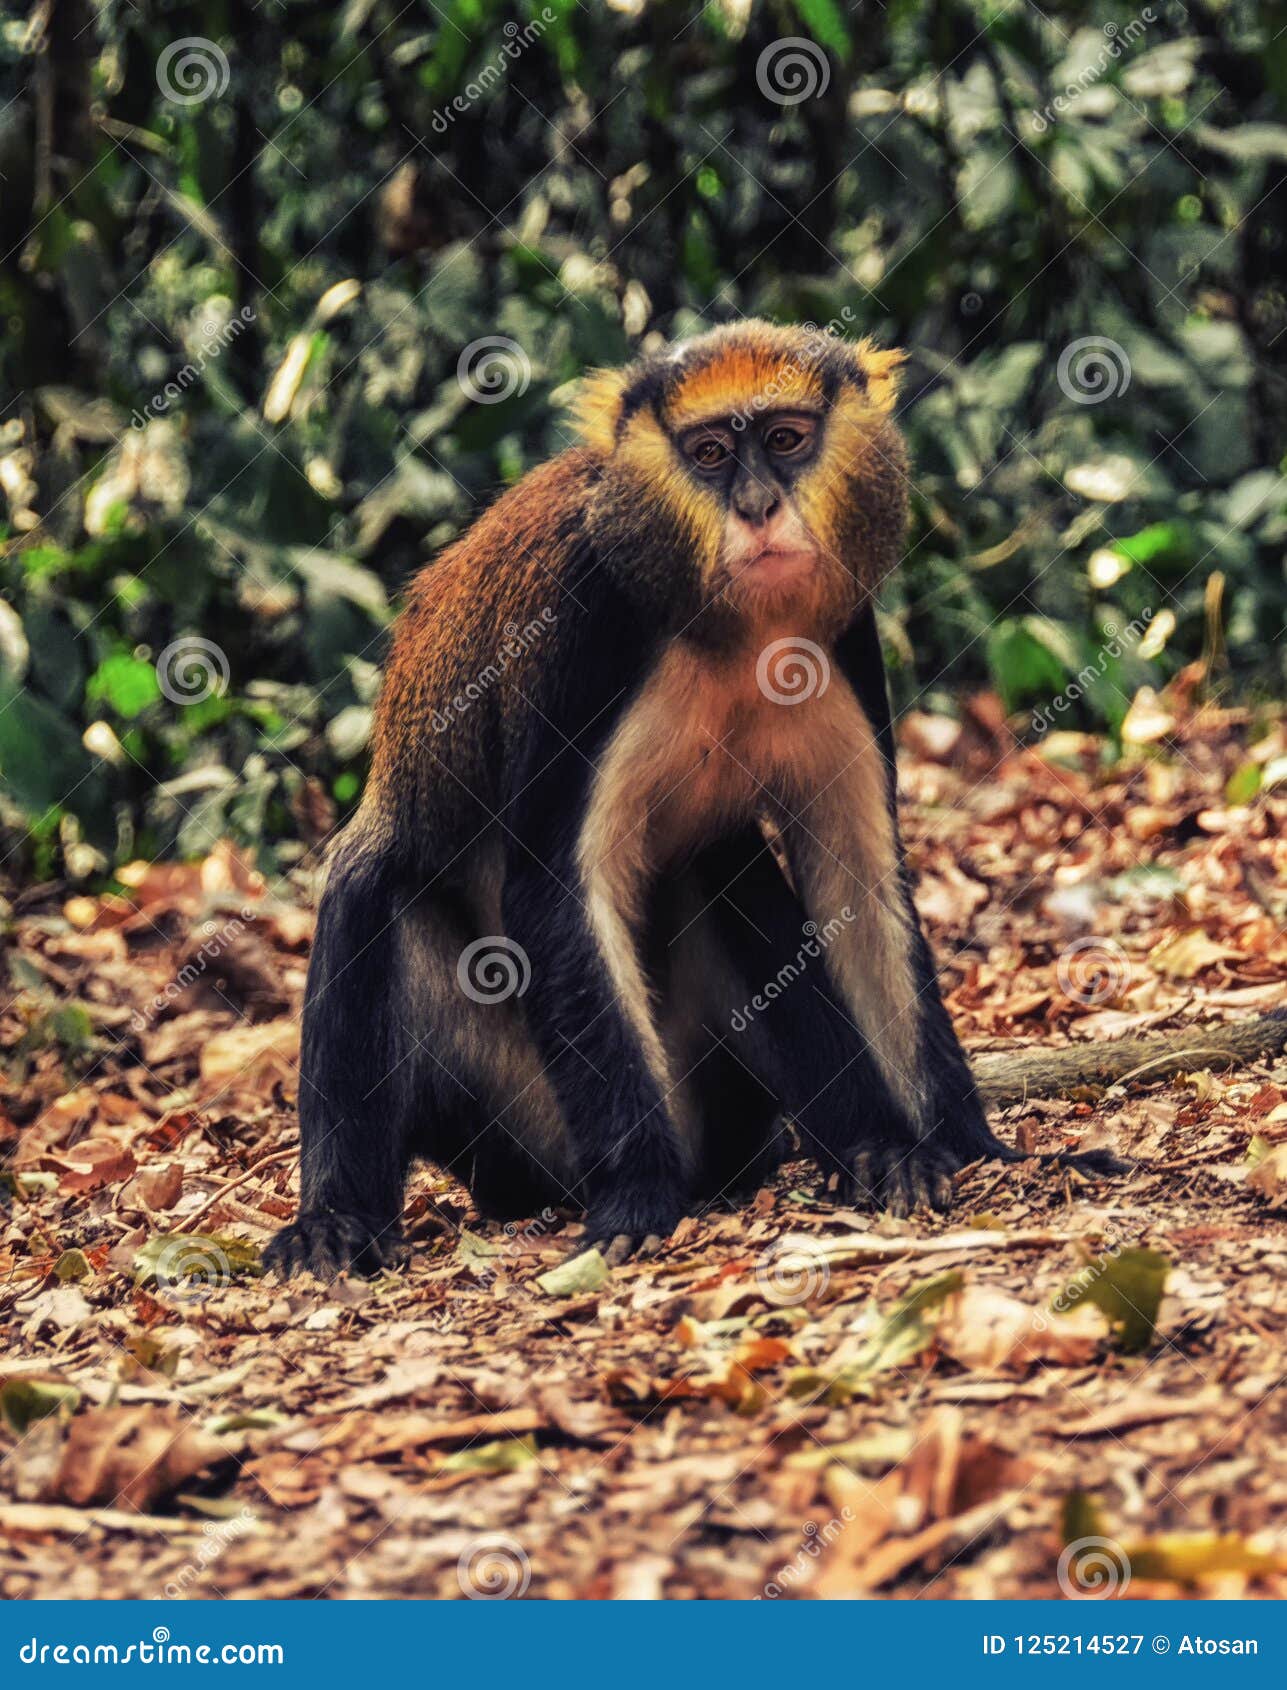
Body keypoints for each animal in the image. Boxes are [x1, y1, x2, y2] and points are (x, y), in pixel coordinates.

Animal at [265, 318, 1129, 1280]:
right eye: (710, 454)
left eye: (784, 440)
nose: (755, 507)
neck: (733, 629)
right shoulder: (586, 620)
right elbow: (556, 888)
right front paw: (639, 1194)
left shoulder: (844, 631)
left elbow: (859, 881)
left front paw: (970, 1149)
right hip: (523, 1129)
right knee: (369, 887)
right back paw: (337, 1220)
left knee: (727, 868)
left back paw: (874, 1151)